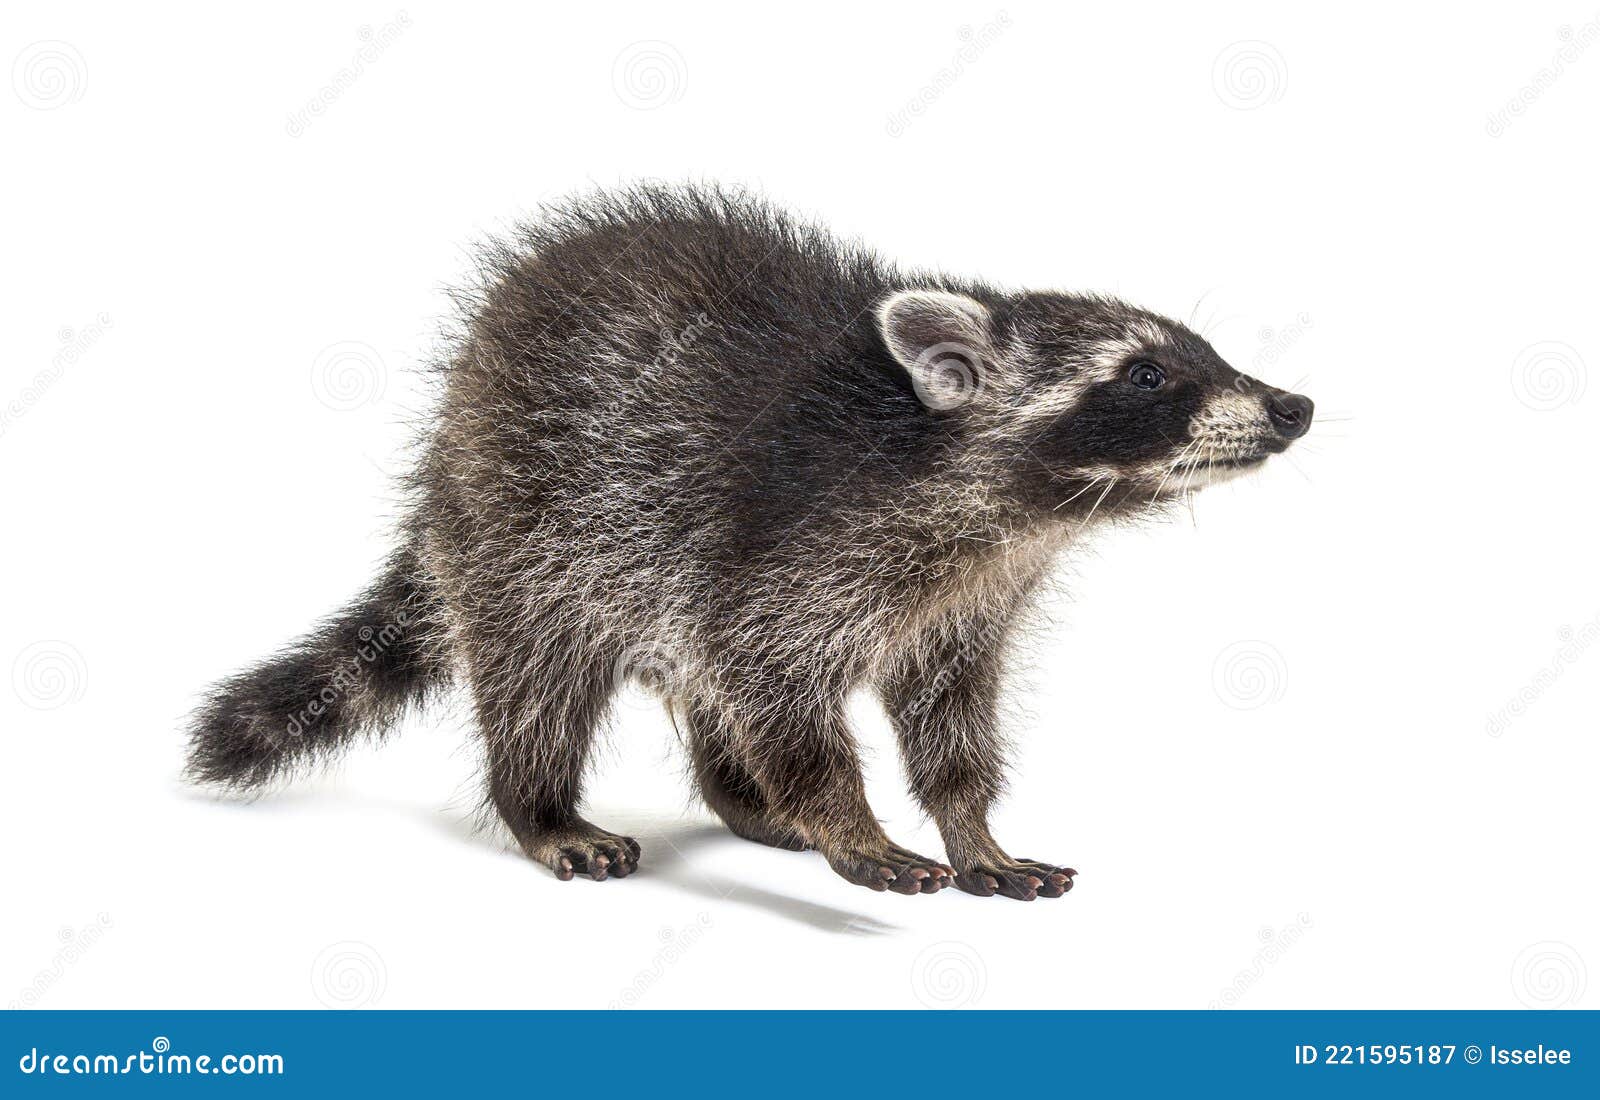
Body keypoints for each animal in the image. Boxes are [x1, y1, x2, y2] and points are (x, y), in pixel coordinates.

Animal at [188, 185, 1313, 901]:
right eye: (1144, 374)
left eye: (1206, 353)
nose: (1291, 406)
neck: (1009, 511)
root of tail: (449, 436)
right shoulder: (795, 546)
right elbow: (777, 686)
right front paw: (847, 814)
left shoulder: (964, 600)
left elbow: (948, 719)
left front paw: (969, 822)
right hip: (528, 524)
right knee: (539, 684)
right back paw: (543, 804)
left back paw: (744, 798)